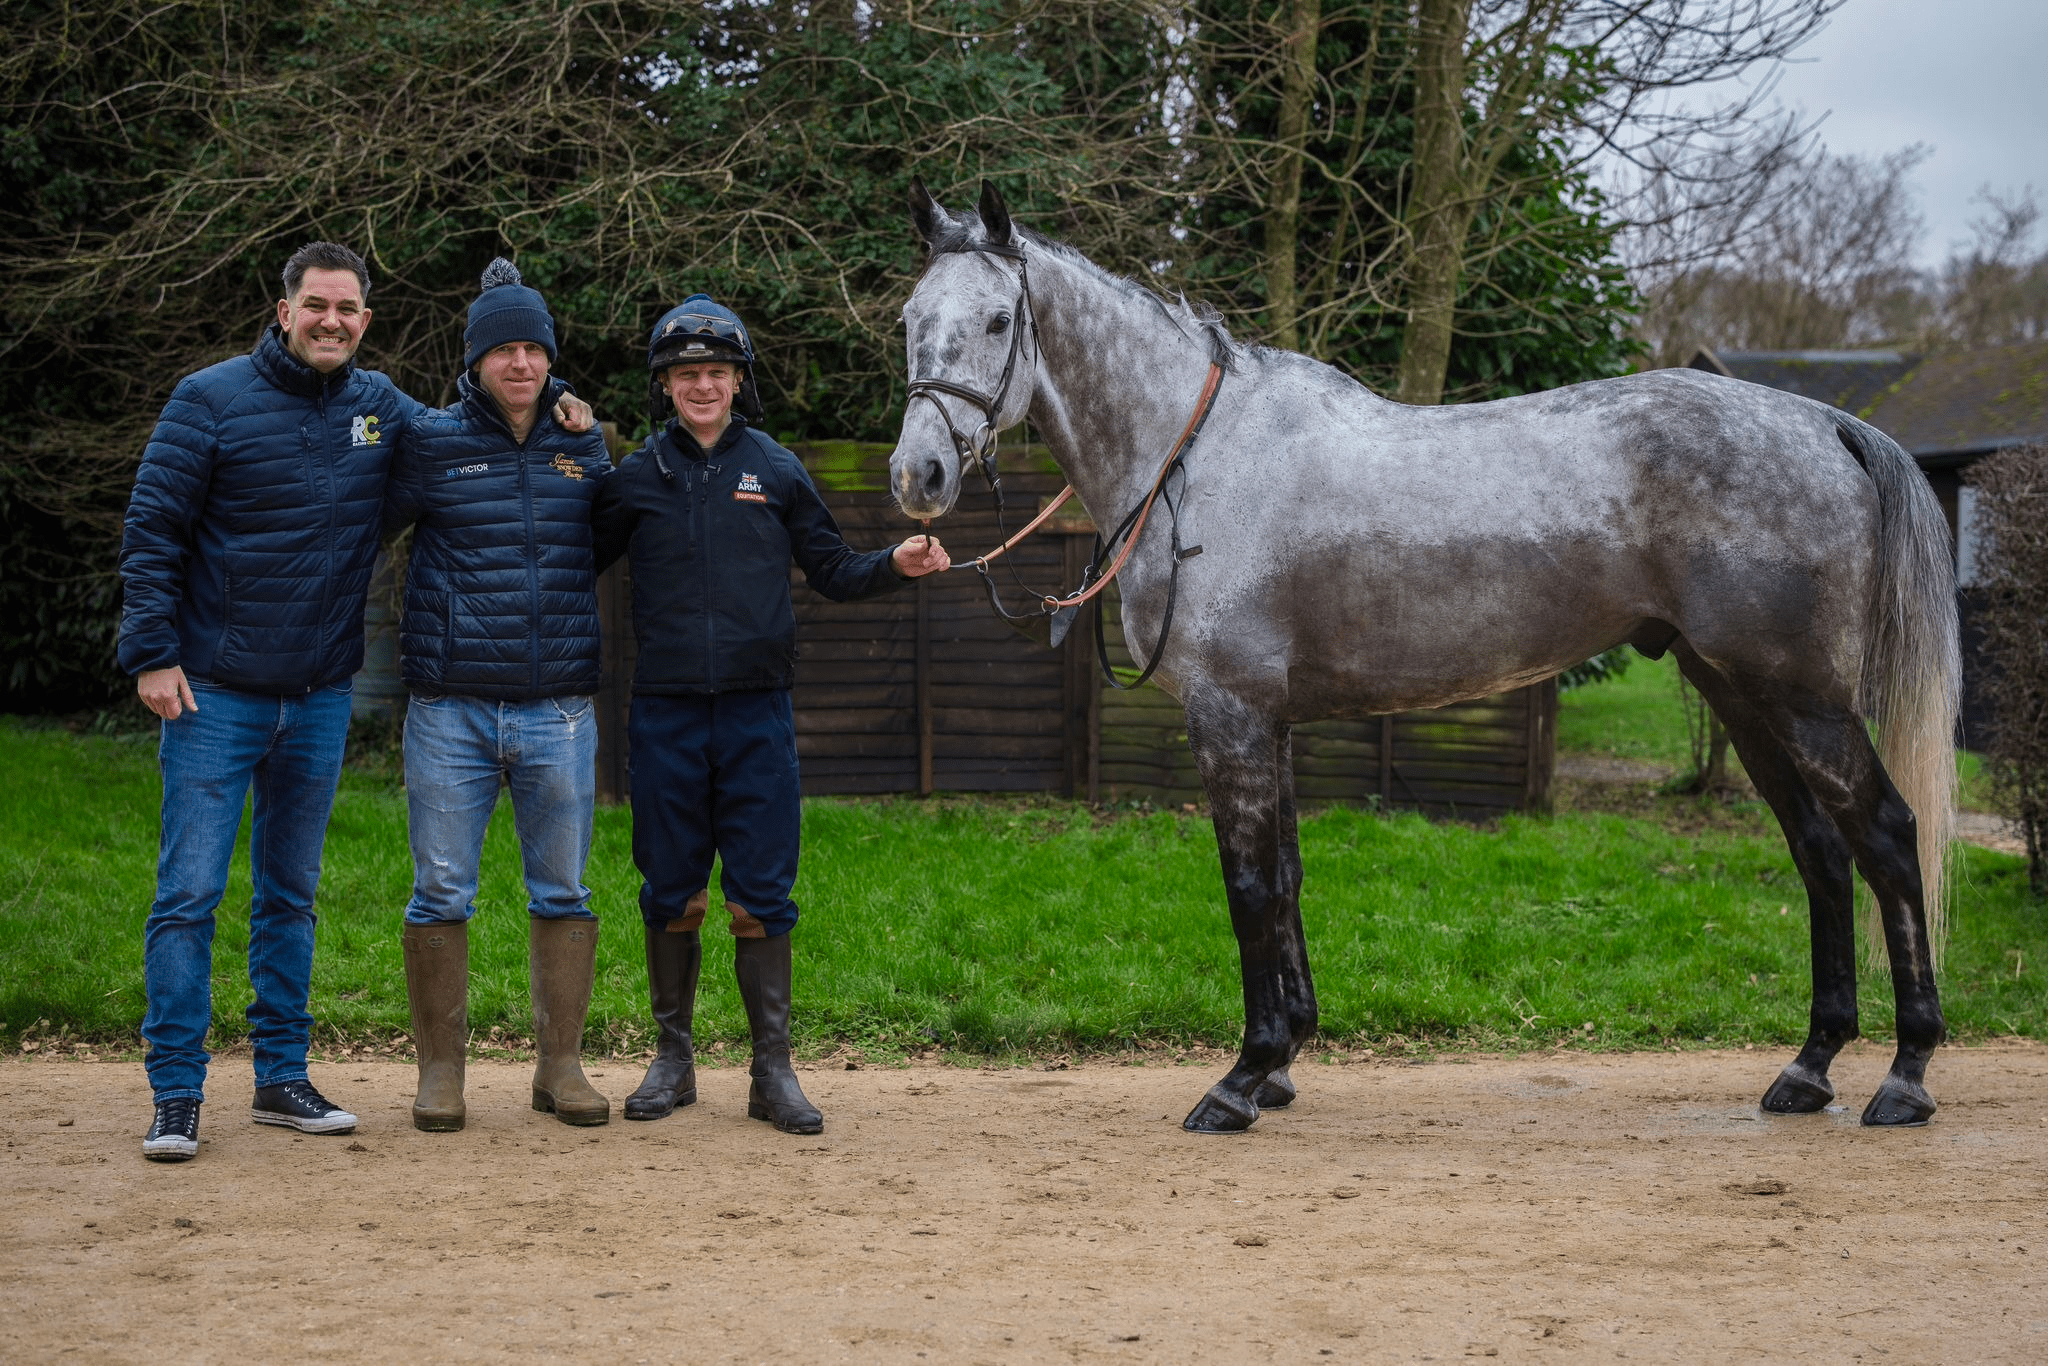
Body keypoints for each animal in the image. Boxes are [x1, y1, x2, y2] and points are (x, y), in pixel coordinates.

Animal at [886, 180, 1960, 1134]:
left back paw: (1904, 1074)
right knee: (1820, 851)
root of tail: (1823, 421)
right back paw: (1810, 1067)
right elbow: (1287, 878)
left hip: (1803, 699)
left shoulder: (1230, 715)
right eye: (908, 318)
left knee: (1886, 836)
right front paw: (1285, 1059)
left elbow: (1248, 888)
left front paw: (1241, 1077)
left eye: (997, 320)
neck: (1197, 460)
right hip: (1738, 693)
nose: (917, 476)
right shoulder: (1270, 723)